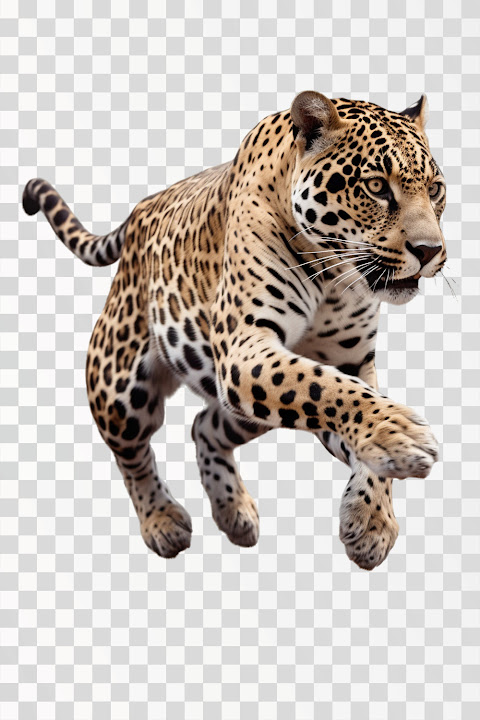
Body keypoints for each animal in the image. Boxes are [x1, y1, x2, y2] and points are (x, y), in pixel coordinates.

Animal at [22, 91, 446, 570]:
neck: (334, 279)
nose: (430, 251)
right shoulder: (247, 346)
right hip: (118, 384)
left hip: (238, 406)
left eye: (435, 189)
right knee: (132, 453)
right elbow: (327, 389)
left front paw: (371, 520)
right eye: (376, 187)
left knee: (203, 426)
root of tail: (141, 208)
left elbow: (345, 397)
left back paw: (234, 514)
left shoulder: (349, 361)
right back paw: (162, 522)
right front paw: (403, 435)